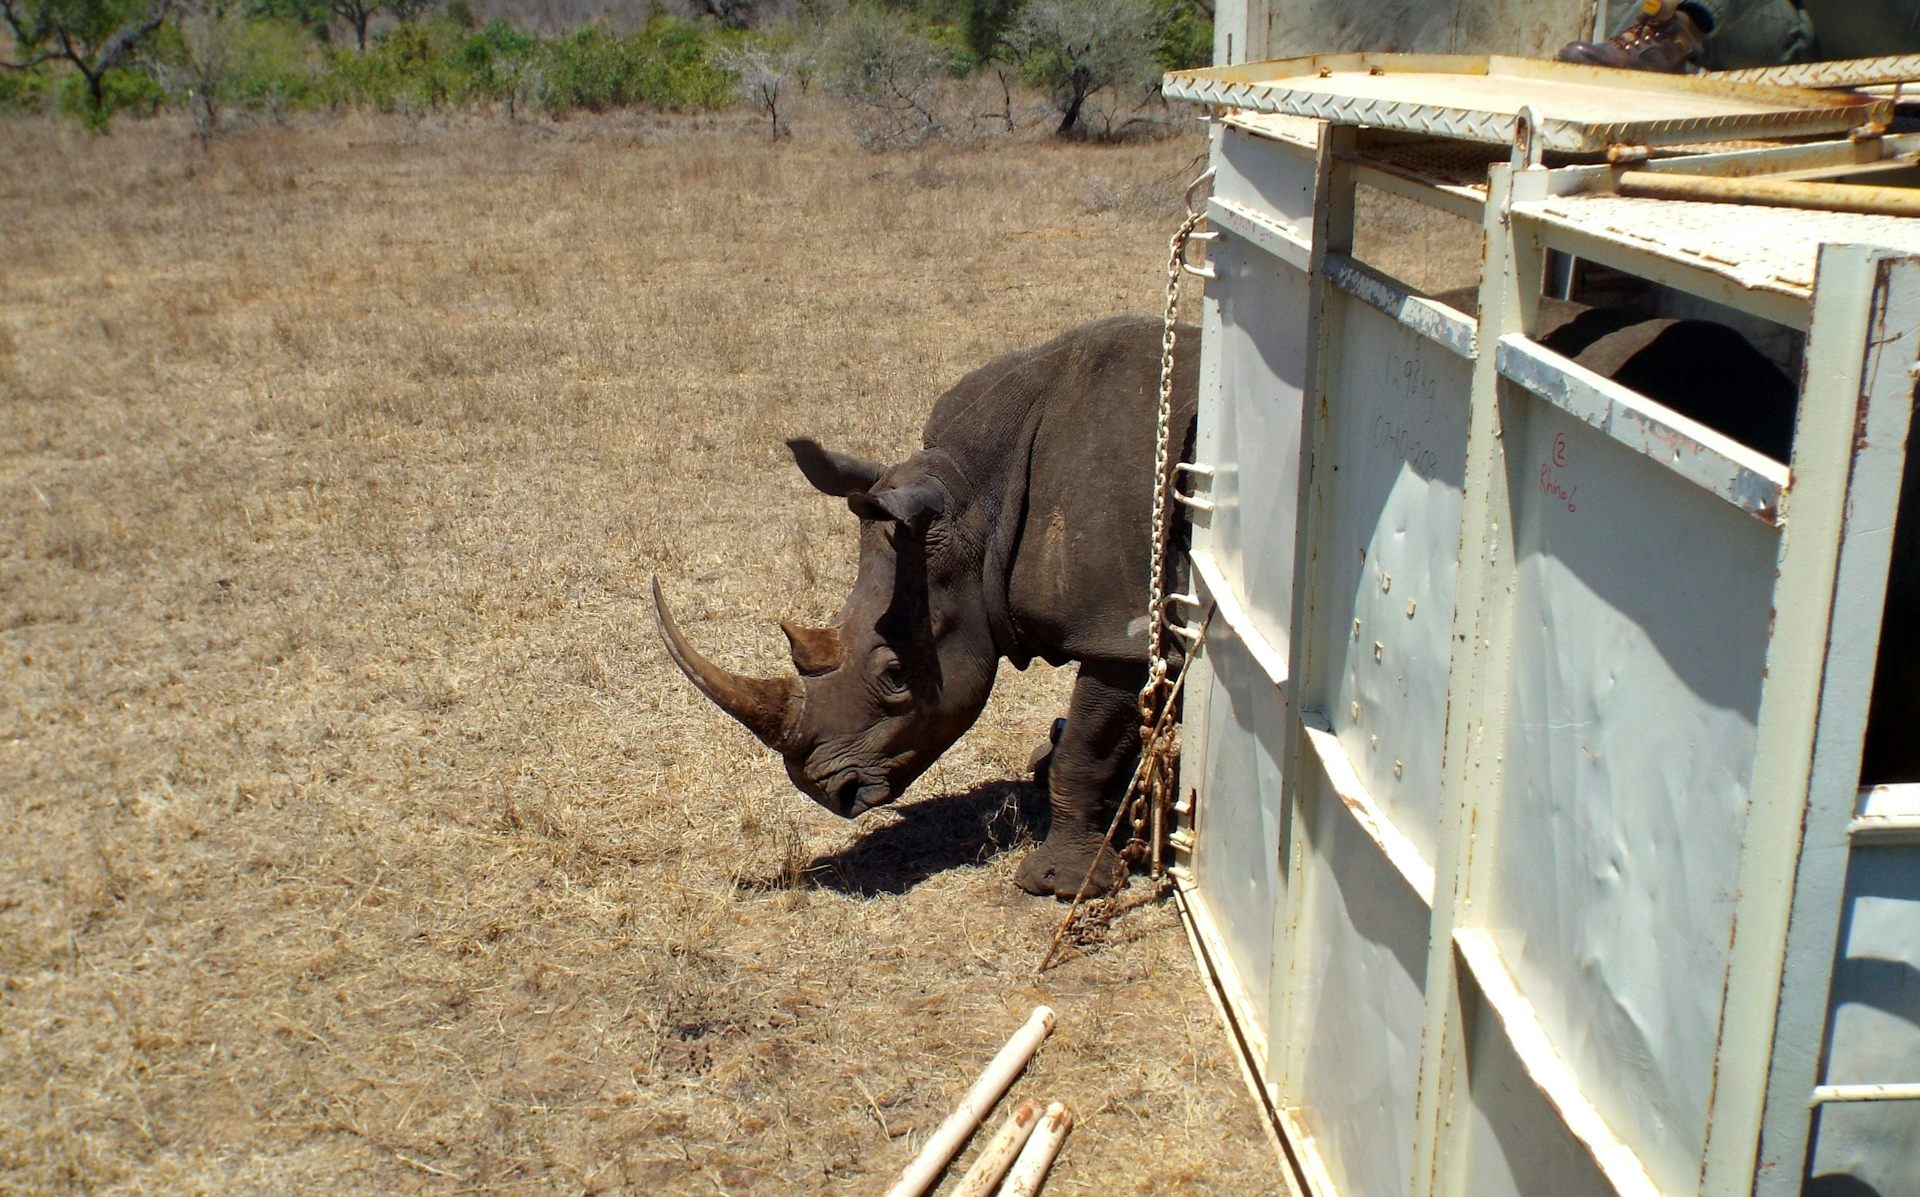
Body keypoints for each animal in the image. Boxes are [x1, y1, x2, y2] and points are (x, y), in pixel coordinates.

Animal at [654, 316, 1197, 897]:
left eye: (896, 674)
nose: (826, 791)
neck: (975, 503)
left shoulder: (1119, 631)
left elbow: (1087, 749)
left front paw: (1060, 886)